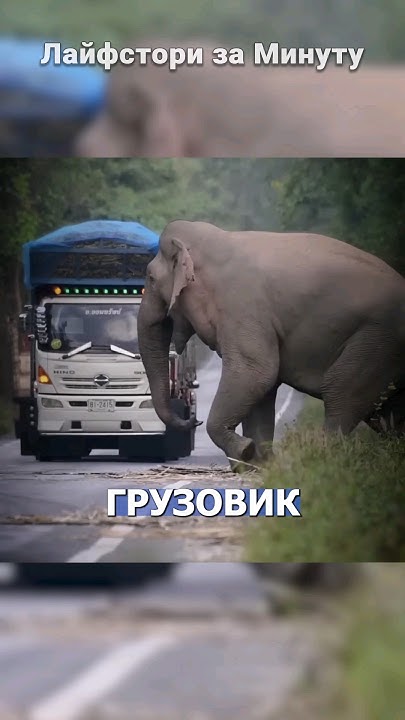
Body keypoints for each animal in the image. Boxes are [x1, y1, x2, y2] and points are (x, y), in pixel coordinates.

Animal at [137, 220, 405, 466]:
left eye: (150, 278)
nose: (194, 419)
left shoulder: (243, 306)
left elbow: (254, 373)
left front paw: (244, 453)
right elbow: (262, 386)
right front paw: (258, 463)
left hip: (378, 340)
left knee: (341, 392)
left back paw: (325, 459)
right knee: (386, 412)